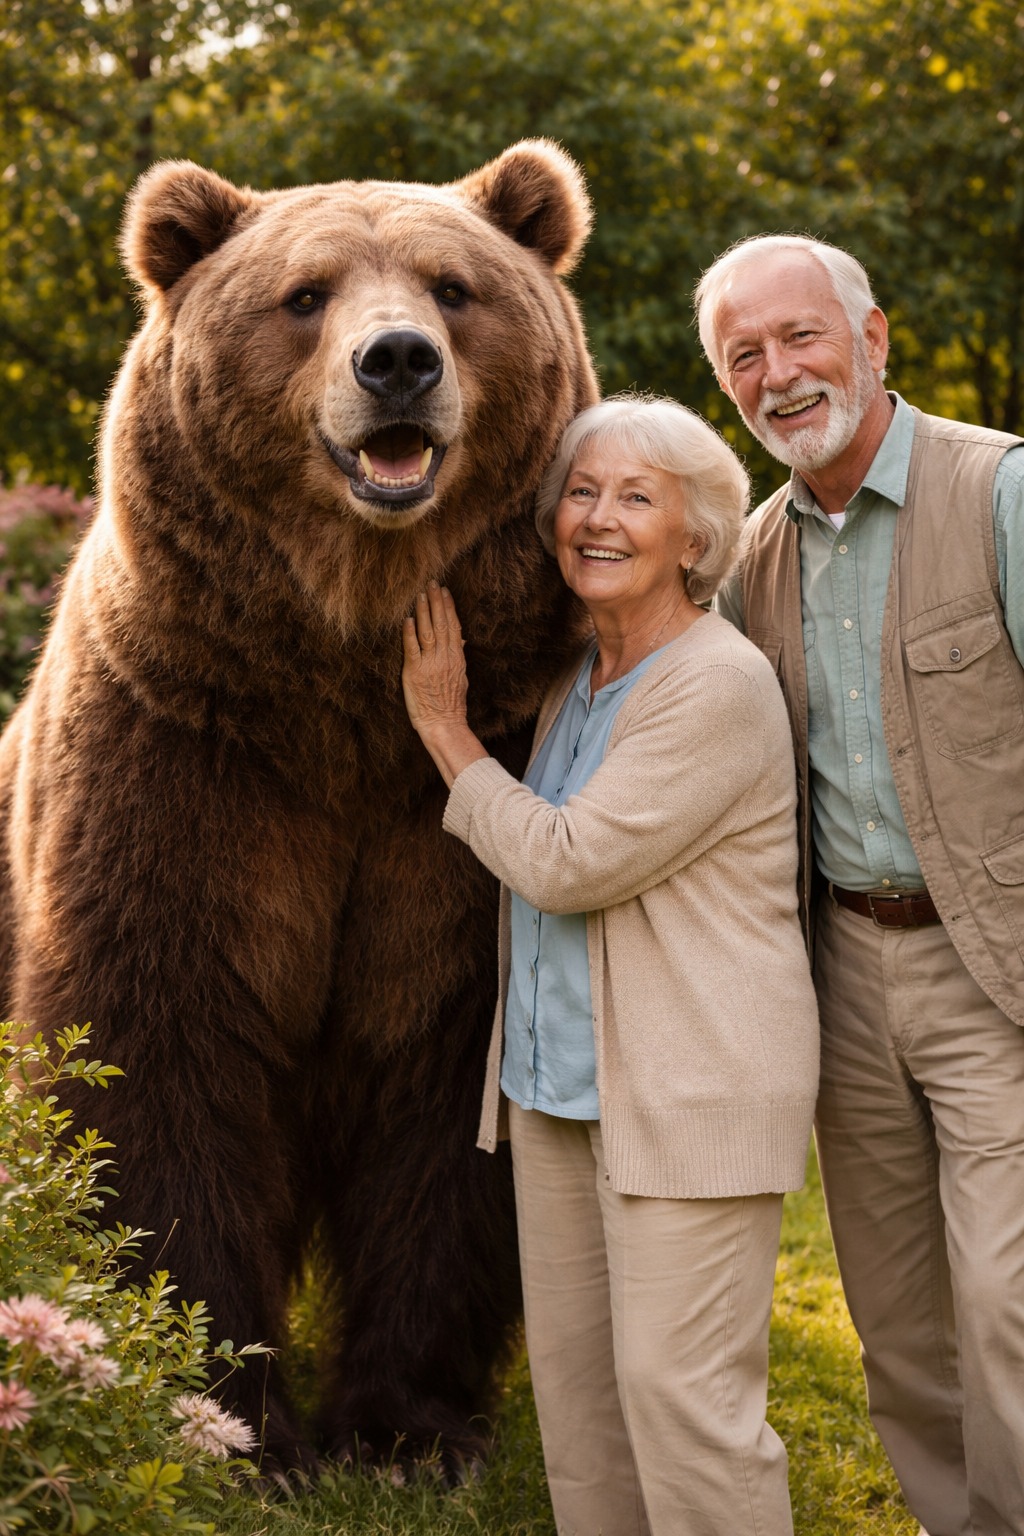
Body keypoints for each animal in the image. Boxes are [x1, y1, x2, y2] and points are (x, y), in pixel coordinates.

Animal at [0, 141, 597, 1473]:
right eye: (305, 294)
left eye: (452, 288)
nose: (399, 361)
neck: (340, 680)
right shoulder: (189, 752)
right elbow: (156, 1051)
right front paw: (228, 1419)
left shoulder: (454, 791)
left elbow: (448, 1088)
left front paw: (406, 1430)